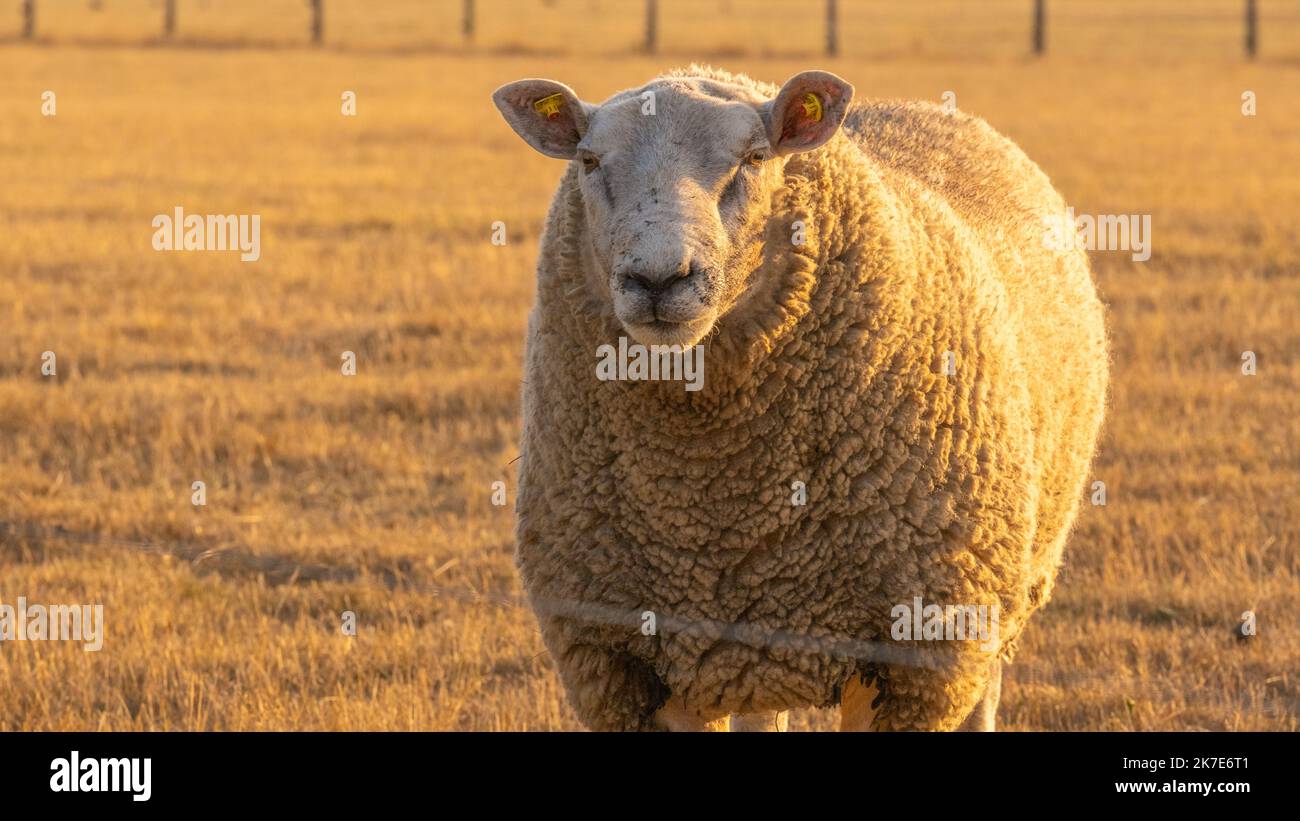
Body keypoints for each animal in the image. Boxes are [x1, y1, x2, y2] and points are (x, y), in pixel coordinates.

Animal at [492, 65, 1108, 731]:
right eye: (588, 160)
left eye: (756, 157)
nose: (658, 280)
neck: (714, 499)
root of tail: (919, 106)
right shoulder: (633, 657)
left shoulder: (912, 652)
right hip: (755, 645)